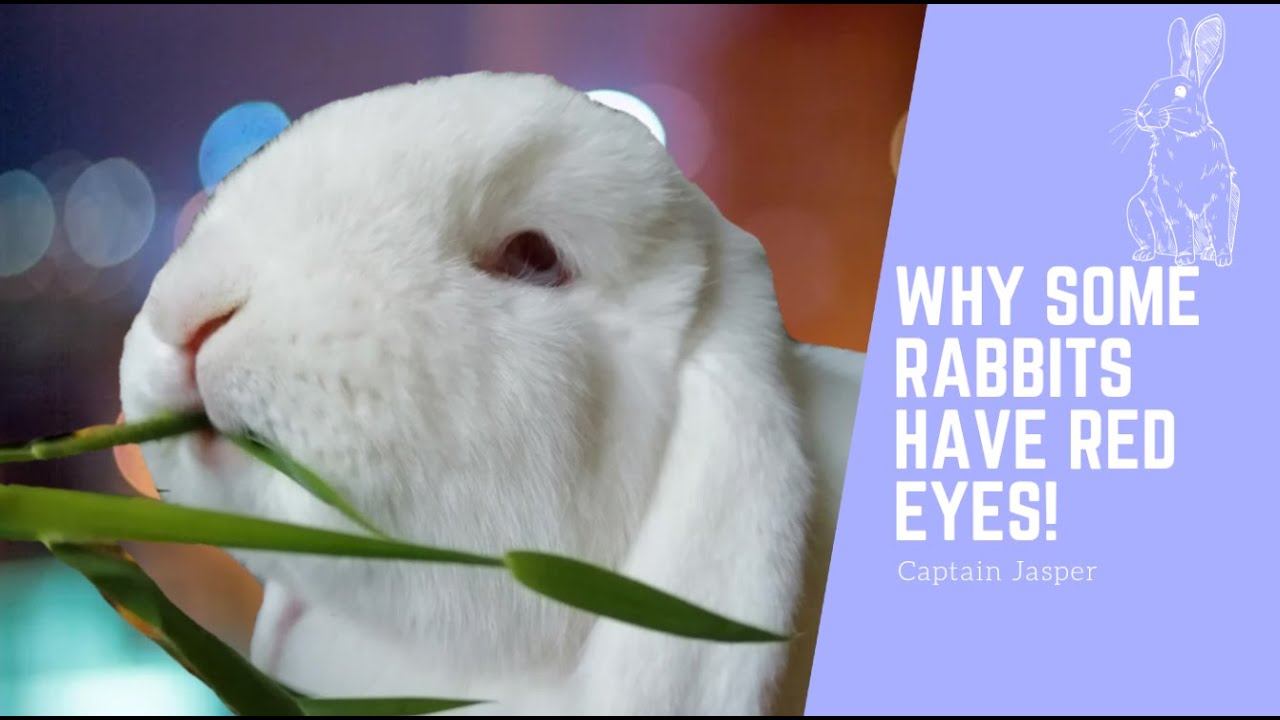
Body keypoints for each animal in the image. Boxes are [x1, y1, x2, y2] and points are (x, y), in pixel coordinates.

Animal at [1126, 13, 1239, 268]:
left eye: (1179, 90)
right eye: (1153, 86)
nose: (1142, 112)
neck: (1184, 136)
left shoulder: (1222, 194)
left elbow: (1219, 227)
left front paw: (1223, 259)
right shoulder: (1171, 198)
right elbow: (1182, 228)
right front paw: (1186, 259)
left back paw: (1208, 253)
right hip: (1136, 210)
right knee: (1150, 239)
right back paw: (1146, 254)